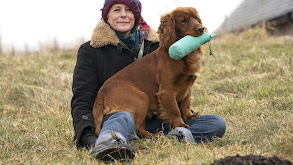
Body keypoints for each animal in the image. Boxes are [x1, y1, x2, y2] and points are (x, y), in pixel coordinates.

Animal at [93, 7, 205, 137]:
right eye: (183, 20)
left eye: (196, 18)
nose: (201, 28)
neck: (183, 58)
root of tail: (100, 95)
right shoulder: (166, 91)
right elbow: (175, 110)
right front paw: (180, 125)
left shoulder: (187, 86)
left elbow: (186, 104)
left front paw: (190, 117)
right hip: (141, 98)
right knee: (138, 128)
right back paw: (155, 136)